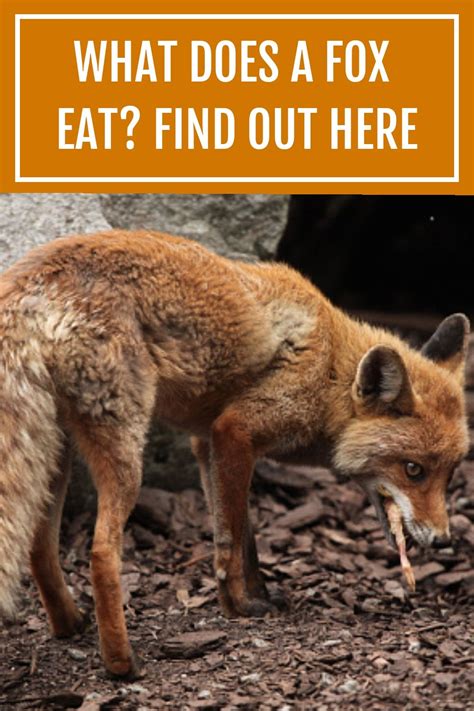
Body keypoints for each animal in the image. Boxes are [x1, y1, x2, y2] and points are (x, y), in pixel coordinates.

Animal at [0, 230, 469, 678]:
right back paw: (121, 664)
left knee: (39, 544)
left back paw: (69, 625)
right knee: (100, 553)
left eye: (449, 475)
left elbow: (246, 537)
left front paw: (259, 594)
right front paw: (239, 607)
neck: (331, 369)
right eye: (413, 470)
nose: (444, 540)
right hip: (125, 449)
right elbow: (229, 542)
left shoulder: (208, 443)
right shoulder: (235, 431)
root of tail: (33, 278)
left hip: (56, 452)